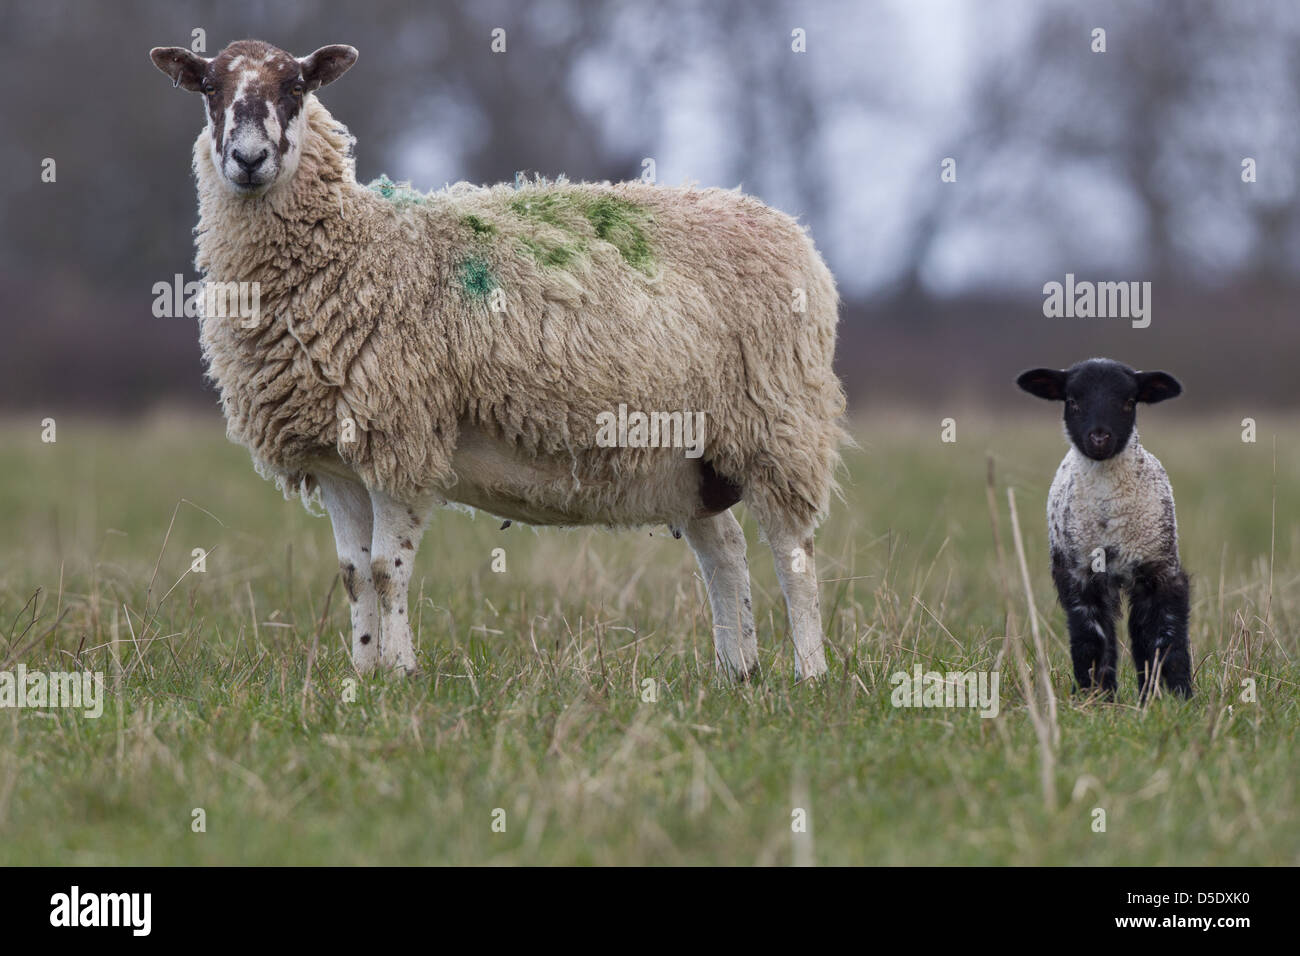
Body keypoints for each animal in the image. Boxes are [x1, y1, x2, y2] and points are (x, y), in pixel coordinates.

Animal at [149, 39, 848, 682]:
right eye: (209, 88)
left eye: (295, 86)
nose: (248, 159)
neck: (353, 249)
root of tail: (787, 227)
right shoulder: (335, 459)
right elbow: (351, 574)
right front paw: (362, 673)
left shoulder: (402, 437)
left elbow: (385, 570)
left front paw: (399, 675)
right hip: (689, 453)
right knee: (724, 549)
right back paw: (738, 672)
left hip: (777, 423)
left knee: (794, 554)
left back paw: (808, 674)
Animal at [1016, 358, 1193, 700]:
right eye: (1072, 401)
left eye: (1129, 401)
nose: (1099, 438)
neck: (1111, 516)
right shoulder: (1082, 575)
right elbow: (1091, 639)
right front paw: (1096, 697)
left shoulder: (1159, 569)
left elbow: (1164, 636)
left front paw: (1174, 696)